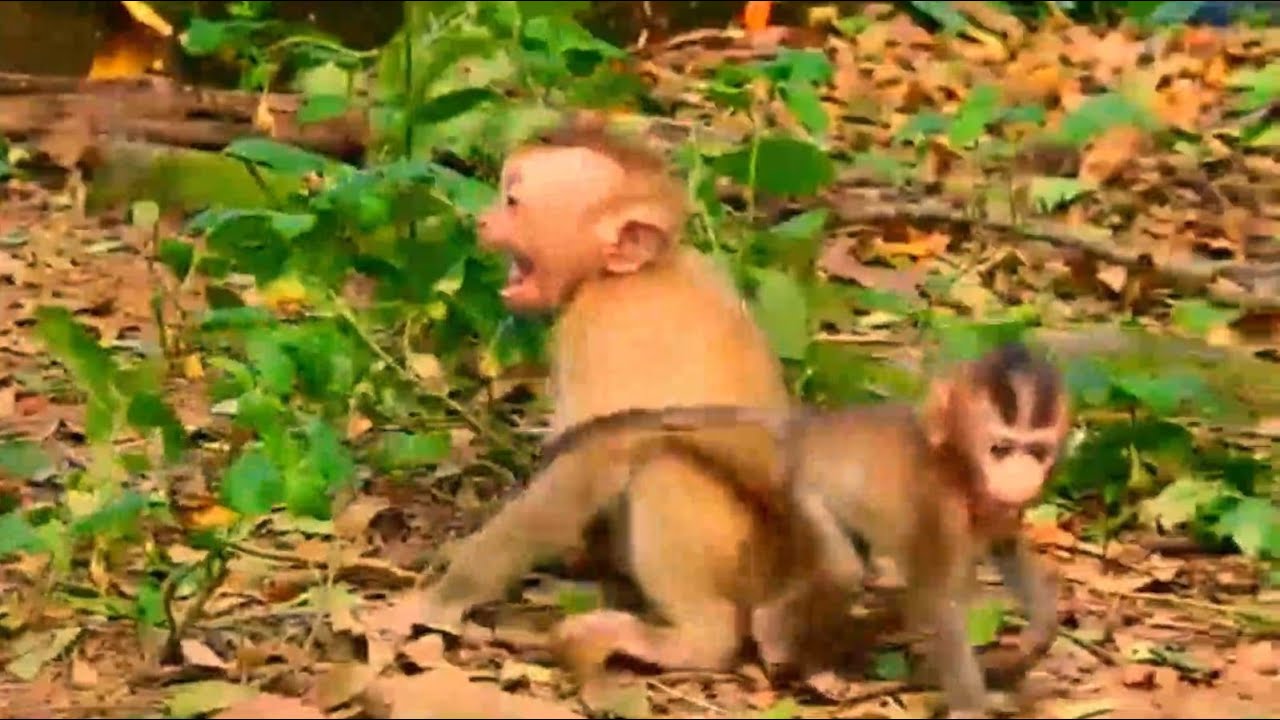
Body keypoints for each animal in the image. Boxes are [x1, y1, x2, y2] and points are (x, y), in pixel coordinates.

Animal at [415, 112, 865, 677]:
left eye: (512, 201)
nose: (483, 221)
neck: (628, 272)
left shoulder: (603, 323)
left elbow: (591, 462)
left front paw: (446, 594)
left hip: (743, 560)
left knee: (664, 464)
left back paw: (689, 641)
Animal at [533, 343, 1070, 718]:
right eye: (1001, 448)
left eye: (1036, 450)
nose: (1021, 475)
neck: (960, 471)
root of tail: (804, 432)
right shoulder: (939, 509)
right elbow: (937, 602)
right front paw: (971, 706)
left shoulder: (994, 508)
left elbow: (1004, 543)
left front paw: (1039, 634)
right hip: (802, 492)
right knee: (842, 568)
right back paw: (778, 633)